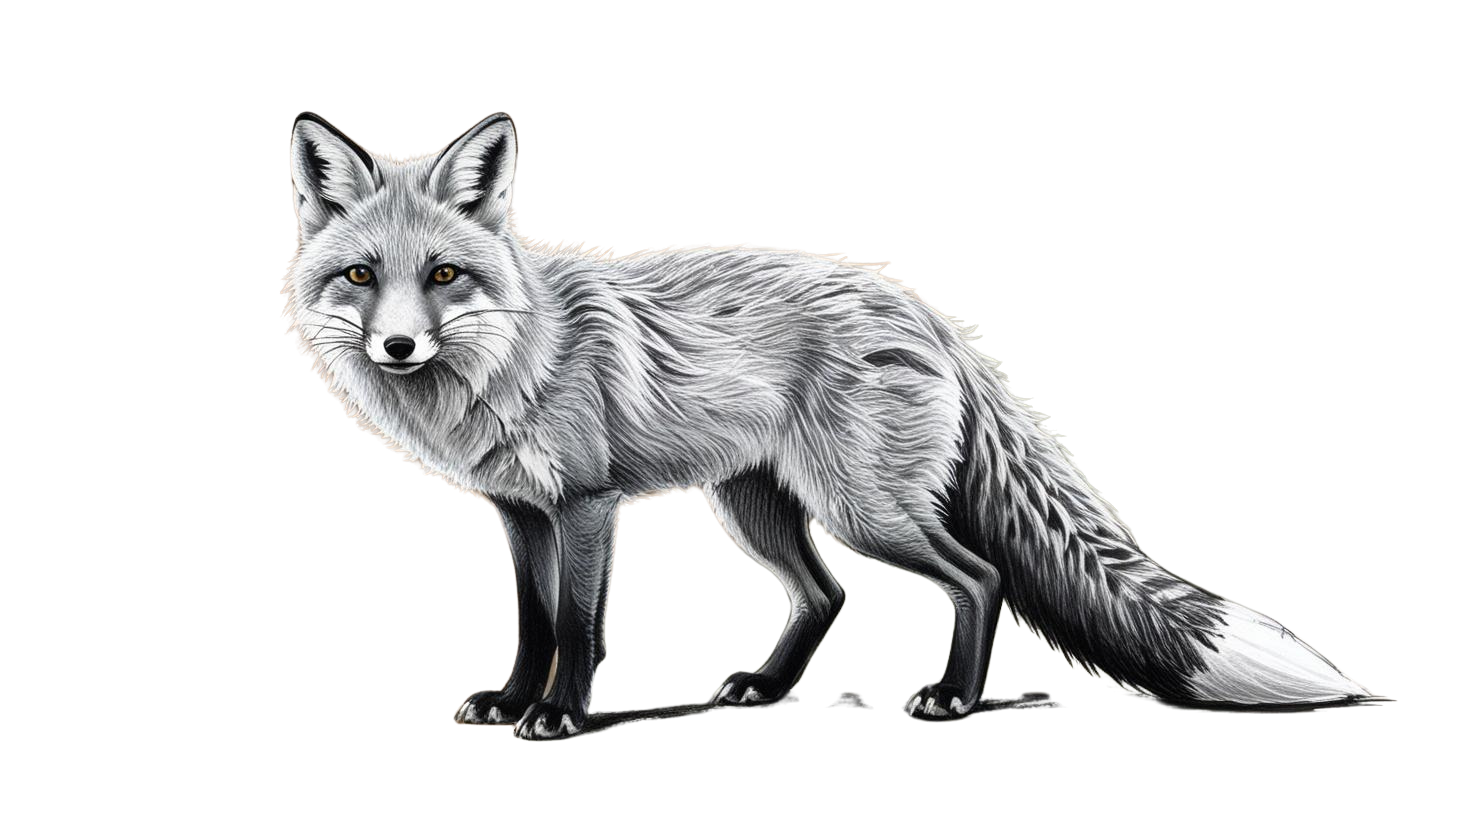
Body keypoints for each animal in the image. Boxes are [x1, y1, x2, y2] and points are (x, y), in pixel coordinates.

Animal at [284, 111, 1373, 740]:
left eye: (443, 275)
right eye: (360, 276)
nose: (396, 348)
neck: (514, 357)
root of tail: (928, 313)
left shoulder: (585, 504)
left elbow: (575, 627)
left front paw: (556, 713)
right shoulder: (522, 511)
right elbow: (532, 623)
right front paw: (510, 704)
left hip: (862, 510)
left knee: (976, 574)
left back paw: (952, 699)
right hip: (755, 506)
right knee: (821, 595)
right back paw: (766, 689)